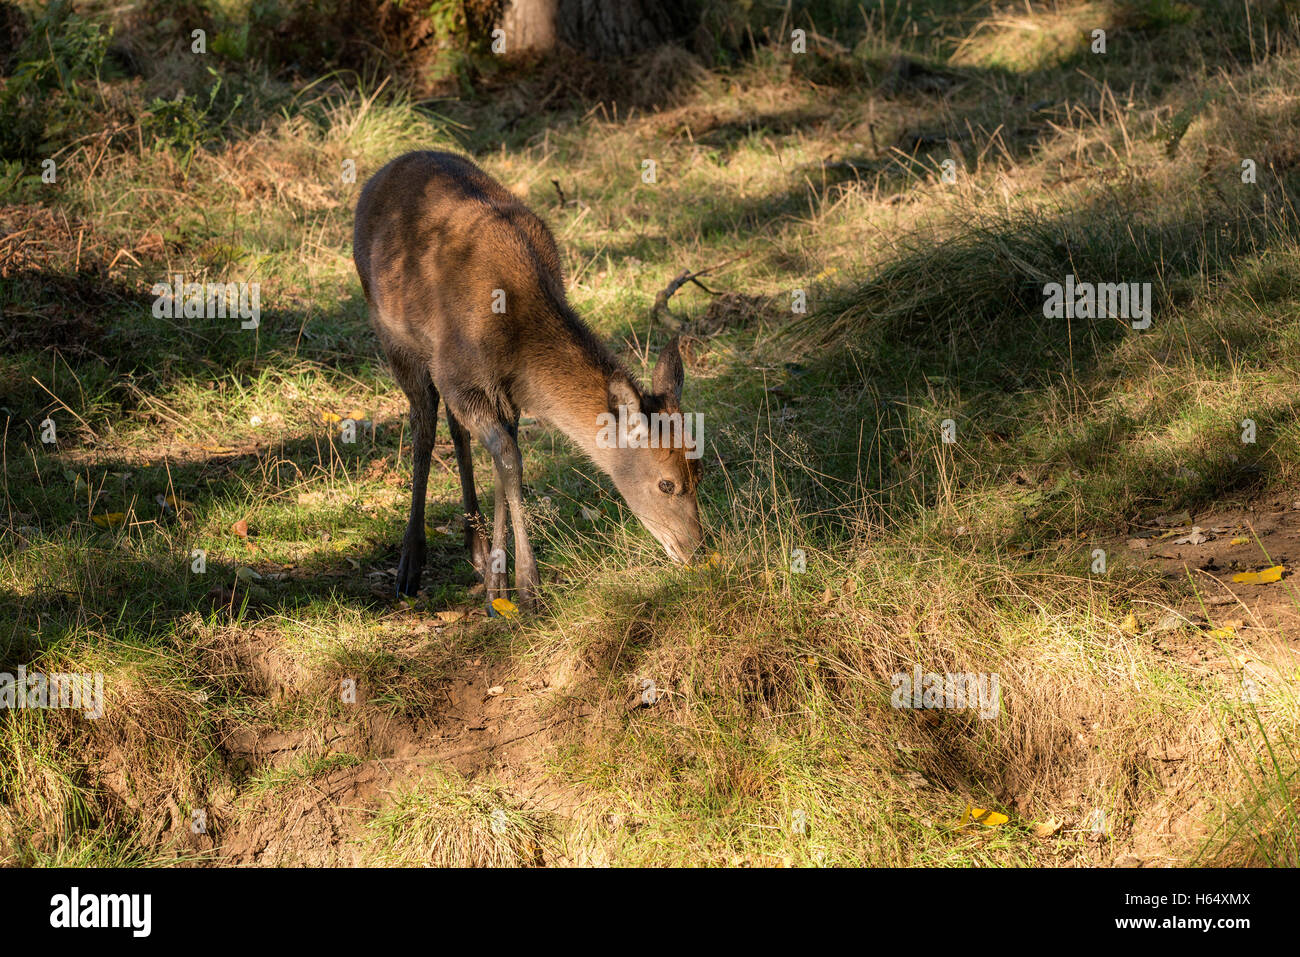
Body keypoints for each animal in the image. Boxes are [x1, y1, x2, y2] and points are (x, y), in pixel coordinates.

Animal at [352, 150, 704, 611]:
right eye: (666, 483)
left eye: (699, 471)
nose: (696, 550)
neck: (515, 337)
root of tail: (384, 169)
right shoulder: (458, 376)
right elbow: (510, 461)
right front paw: (527, 588)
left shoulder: (505, 393)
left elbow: (506, 463)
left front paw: (497, 584)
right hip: (394, 336)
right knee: (423, 426)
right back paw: (410, 565)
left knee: (455, 430)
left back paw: (476, 549)